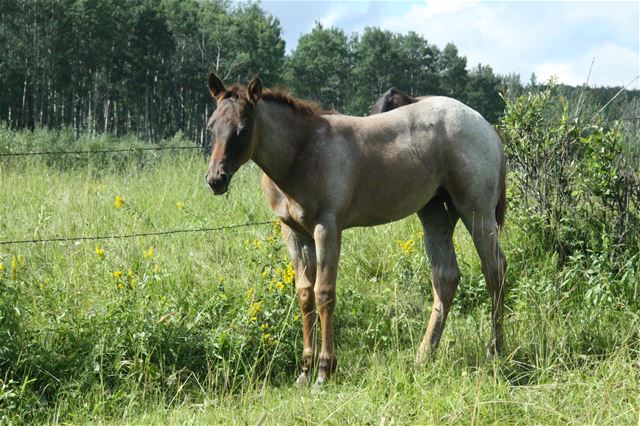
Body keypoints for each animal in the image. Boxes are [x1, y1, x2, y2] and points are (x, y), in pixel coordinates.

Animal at [204, 73, 507, 387]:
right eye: (211, 126)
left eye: (243, 129)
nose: (215, 179)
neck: (300, 153)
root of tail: (485, 125)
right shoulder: (294, 232)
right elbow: (305, 294)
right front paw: (304, 371)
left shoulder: (327, 227)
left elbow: (324, 293)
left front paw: (324, 371)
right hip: (434, 211)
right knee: (446, 277)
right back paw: (424, 355)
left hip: (476, 211)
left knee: (494, 270)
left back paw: (495, 351)